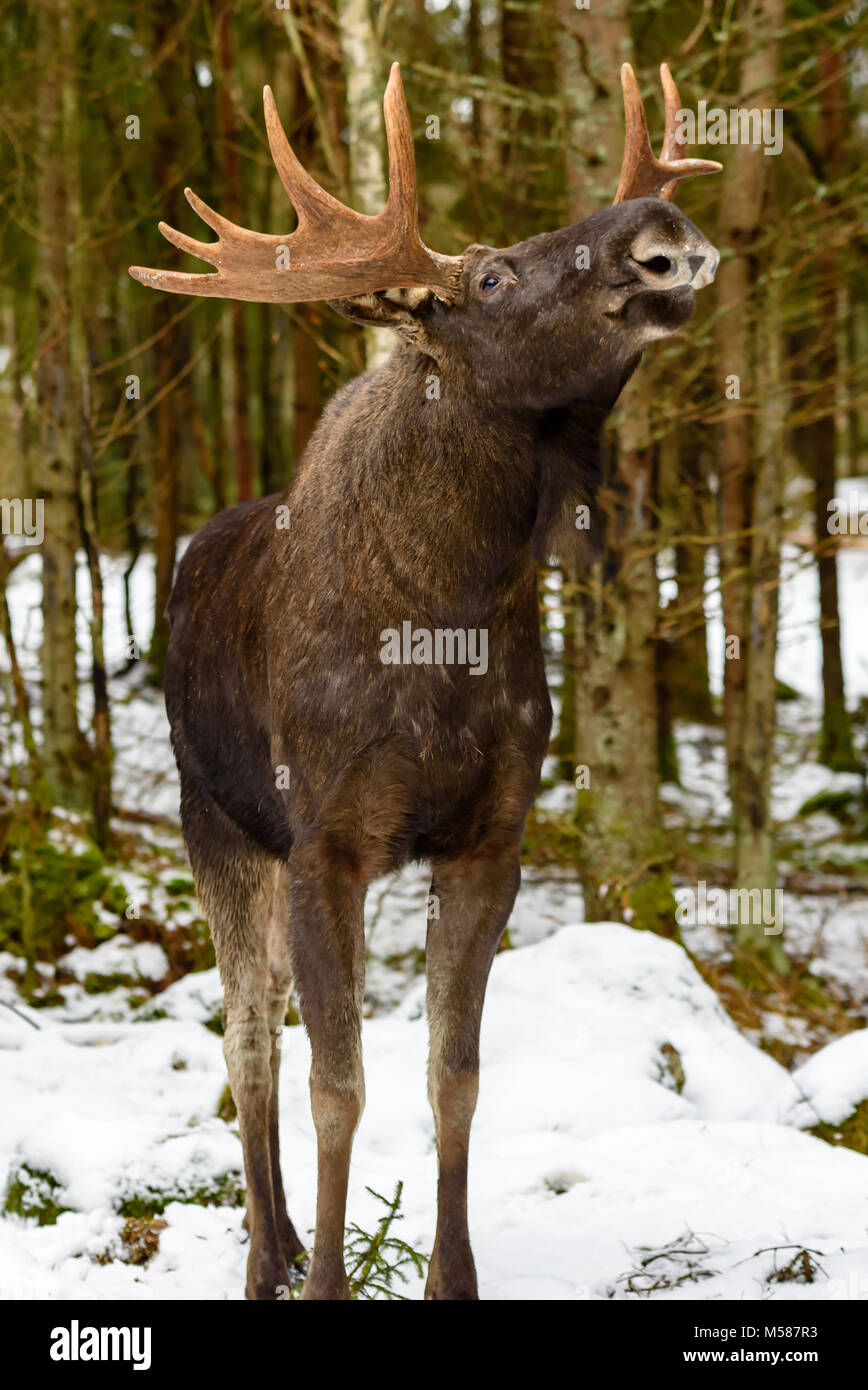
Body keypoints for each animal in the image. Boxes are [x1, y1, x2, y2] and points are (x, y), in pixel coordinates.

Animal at [130, 61, 721, 1301]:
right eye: (489, 275)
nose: (659, 232)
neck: (450, 613)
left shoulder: (491, 835)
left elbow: (456, 1075)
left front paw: (453, 1276)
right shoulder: (326, 841)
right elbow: (336, 1086)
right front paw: (325, 1282)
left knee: (263, 1024)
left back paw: (282, 1235)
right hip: (215, 821)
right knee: (244, 1036)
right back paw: (268, 1255)